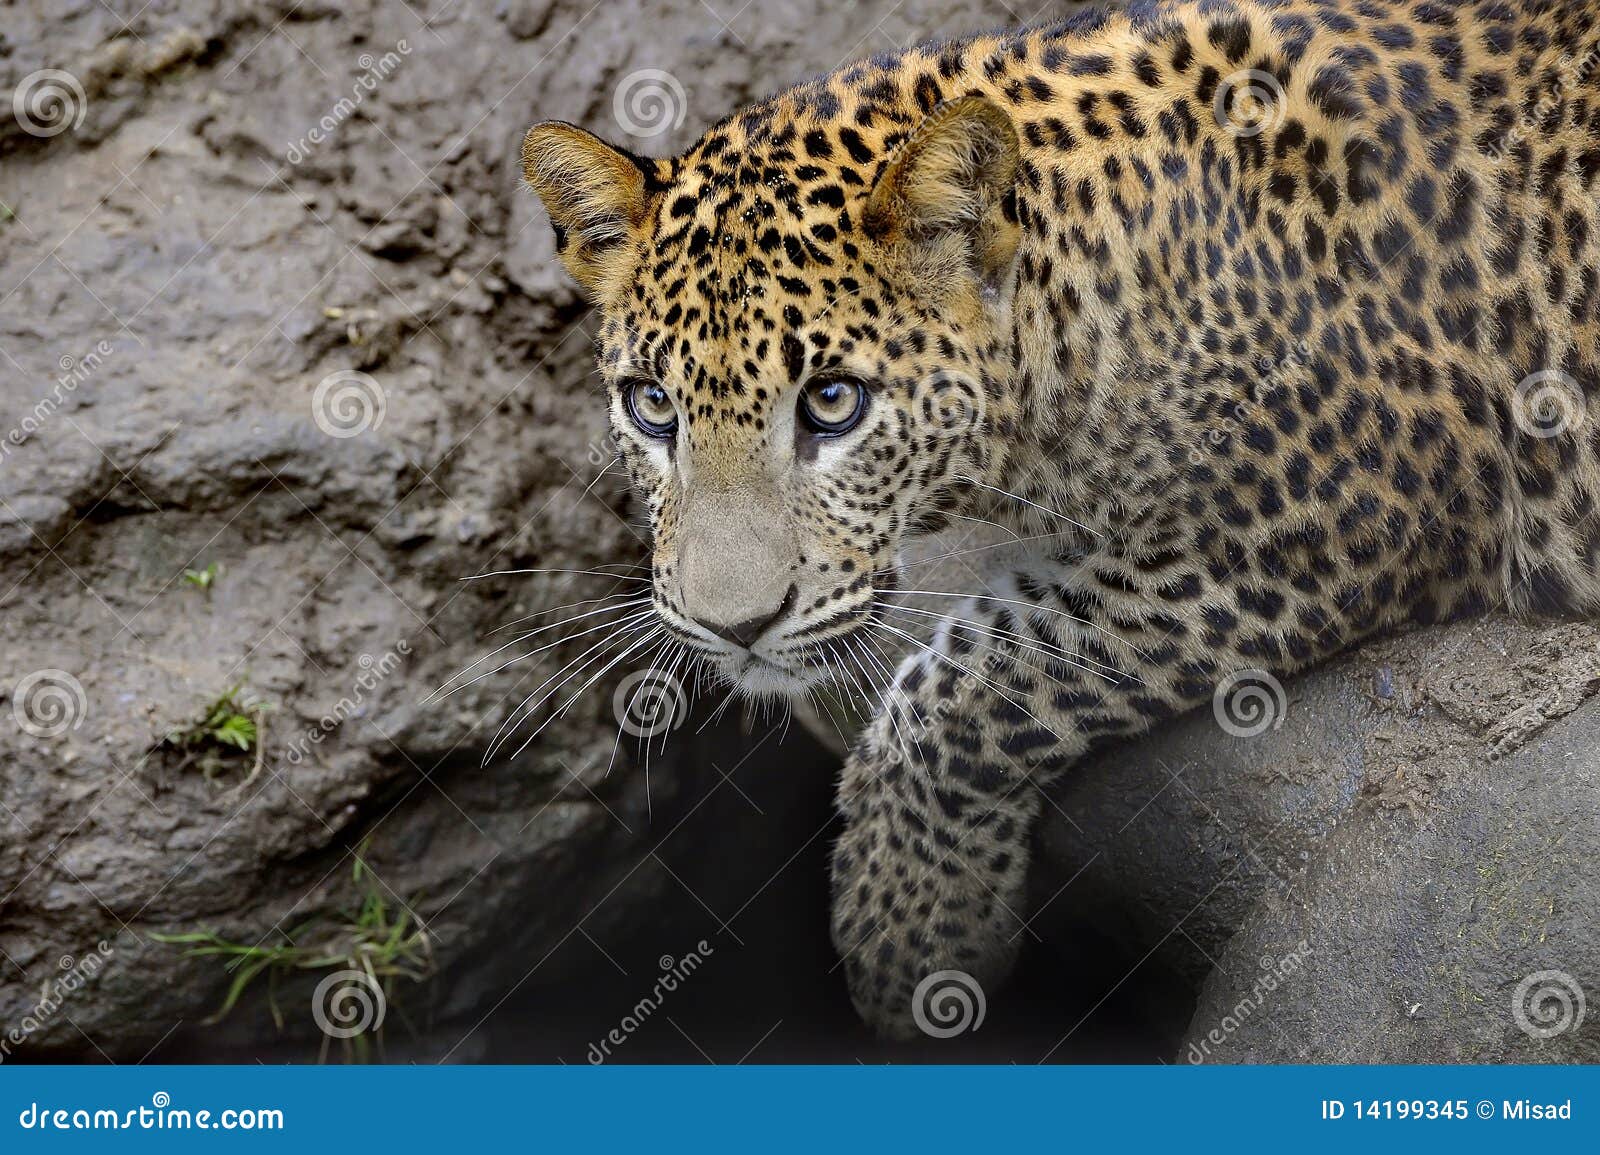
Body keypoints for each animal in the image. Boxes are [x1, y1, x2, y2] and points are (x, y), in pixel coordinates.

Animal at [519, 0, 1600, 1039]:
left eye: (832, 403)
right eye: (652, 407)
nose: (732, 627)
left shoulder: (1332, 514)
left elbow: (983, 669)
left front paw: (905, 932)